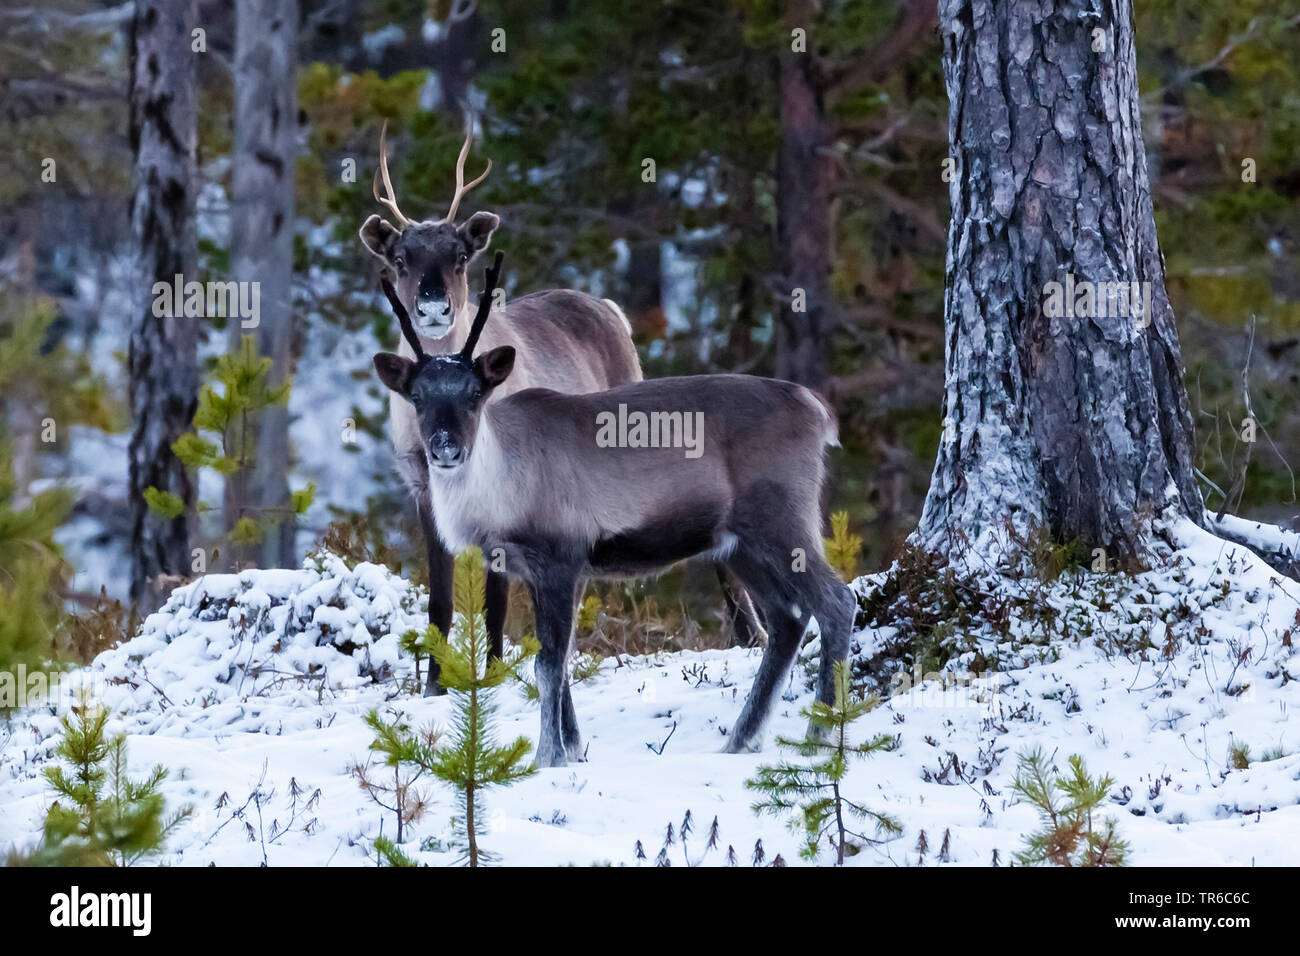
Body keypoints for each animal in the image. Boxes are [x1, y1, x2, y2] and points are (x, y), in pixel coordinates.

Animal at [358, 122, 763, 695]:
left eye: (460, 257)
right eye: (400, 260)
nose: (434, 308)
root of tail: (611, 309)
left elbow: (495, 601)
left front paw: (493, 674)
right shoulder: (420, 488)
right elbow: (439, 602)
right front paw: (434, 686)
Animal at [372, 253, 854, 767]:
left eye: (474, 393)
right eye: (417, 397)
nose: (445, 447)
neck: (499, 489)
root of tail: (817, 411)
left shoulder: (560, 558)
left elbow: (549, 664)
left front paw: (547, 756)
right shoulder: (536, 570)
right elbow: (560, 661)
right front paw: (573, 747)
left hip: (782, 520)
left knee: (836, 601)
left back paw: (820, 734)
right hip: (738, 544)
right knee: (787, 619)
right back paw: (741, 739)